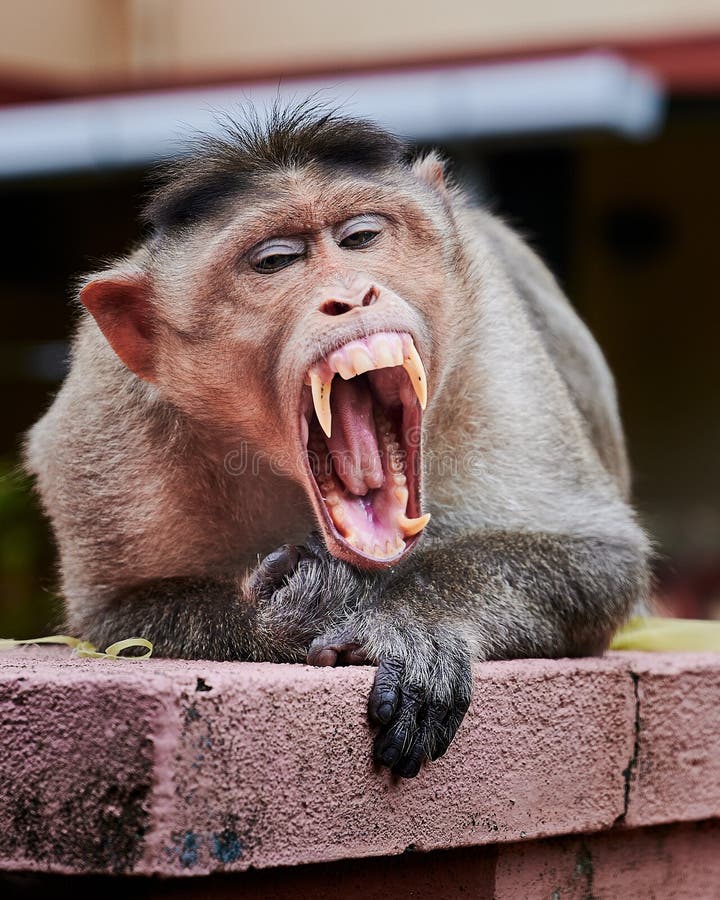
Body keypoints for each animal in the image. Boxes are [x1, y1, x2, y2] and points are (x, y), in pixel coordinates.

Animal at [25, 104, 649, 779]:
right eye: (275, 261)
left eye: (361, 238)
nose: (351, 296)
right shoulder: (107, 420)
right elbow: (115, 612)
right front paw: (280, 621)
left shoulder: (493, 343)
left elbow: (600, 557)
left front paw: (413, 619)